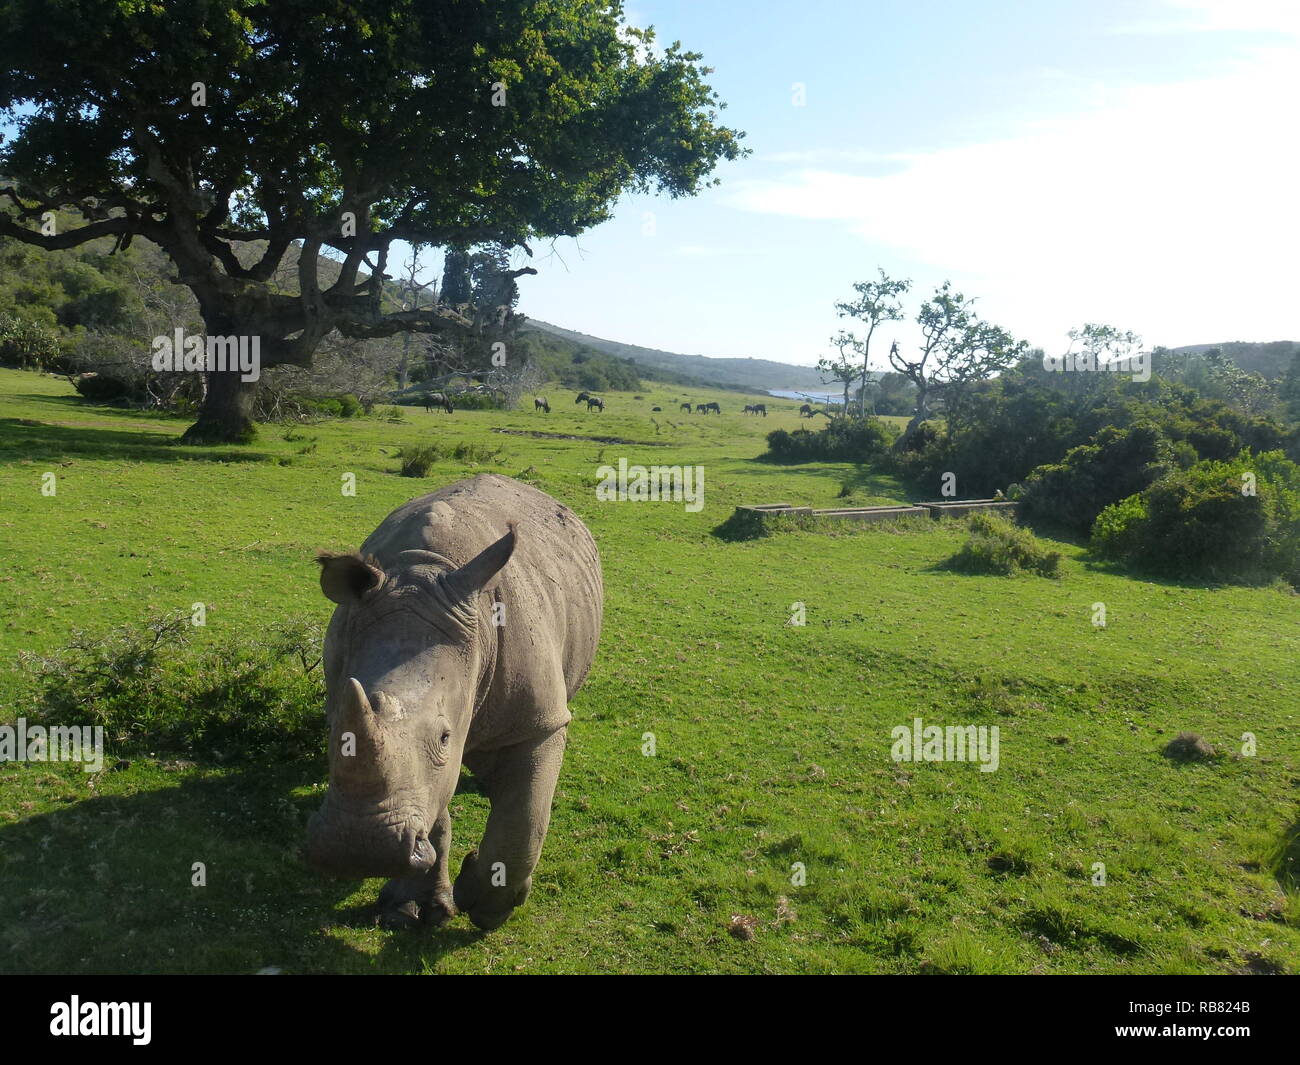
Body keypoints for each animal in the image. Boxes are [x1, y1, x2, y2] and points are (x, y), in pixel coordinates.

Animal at [305, 473, 603, 930]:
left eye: (445, 737)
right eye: (332, 728)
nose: (358, 848)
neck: (422, 571)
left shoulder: (538, 721)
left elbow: (524, 819)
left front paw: (485, 906)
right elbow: (435, 806)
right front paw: (412, 909)